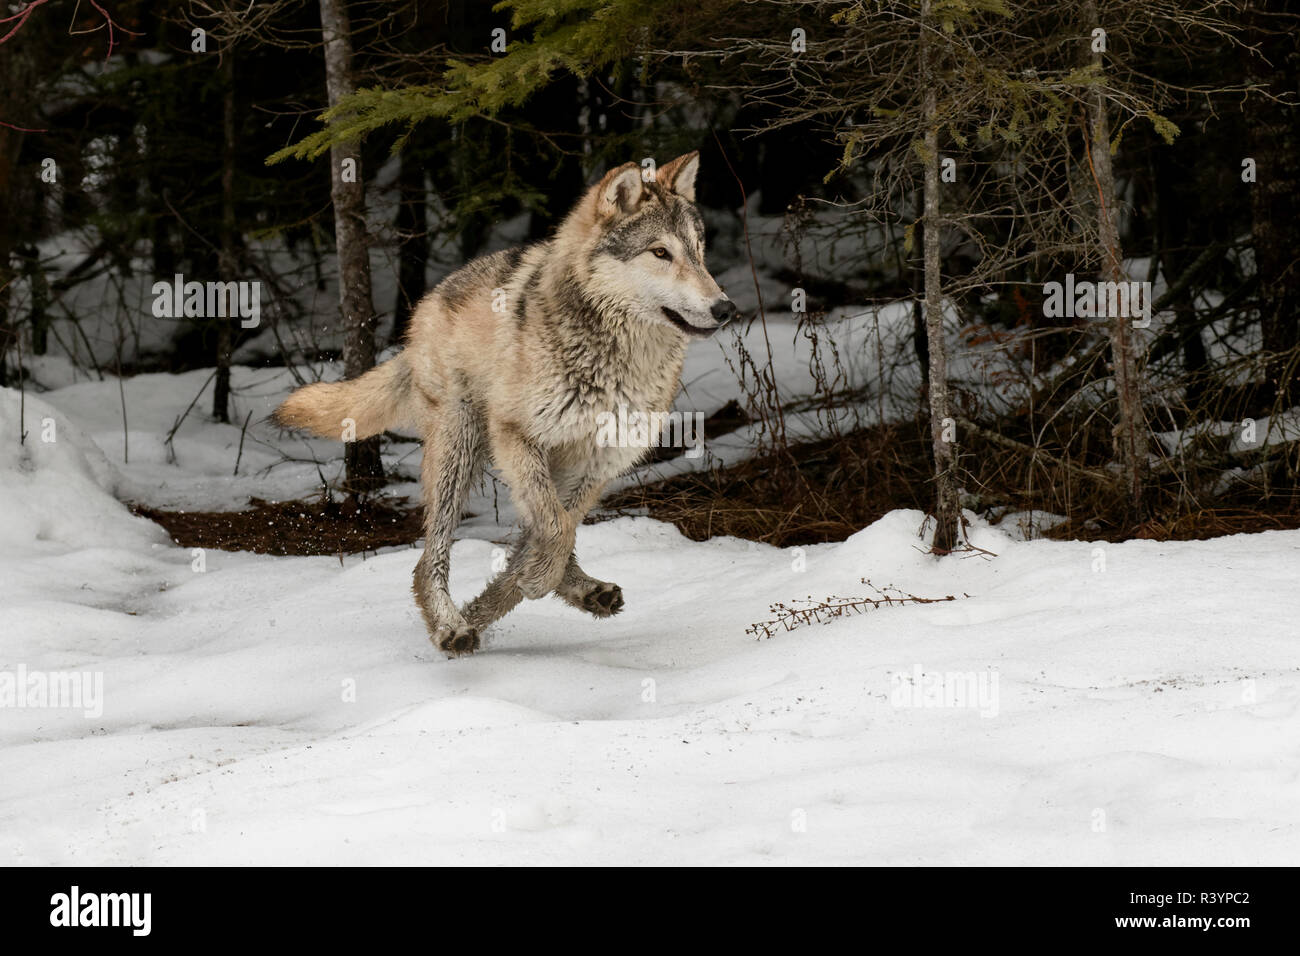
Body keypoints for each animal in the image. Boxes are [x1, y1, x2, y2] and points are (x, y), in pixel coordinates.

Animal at [273, 152, 737, 656]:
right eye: (660, 253)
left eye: (698, 250)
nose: (725, 309)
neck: (618, 360)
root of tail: (426, 307)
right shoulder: (517, 436)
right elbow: (554, 530)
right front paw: (503, 599)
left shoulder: (599, 463)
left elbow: (552, 533)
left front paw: (512, 594)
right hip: (459, 449)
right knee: (428, 559)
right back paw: (450, 624)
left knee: (536, 533)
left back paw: (564, 594)